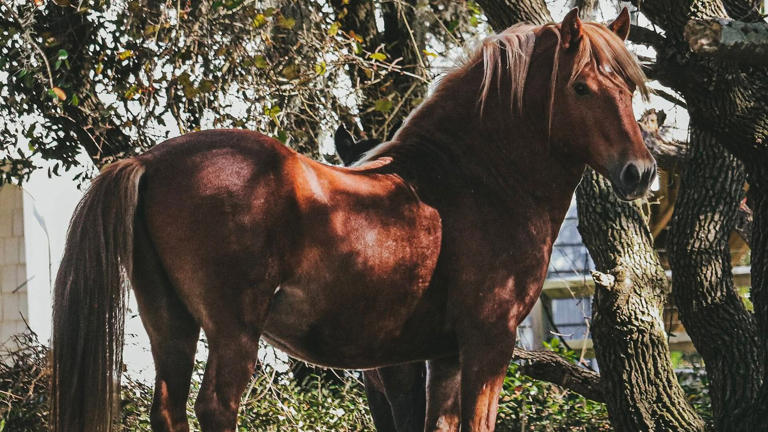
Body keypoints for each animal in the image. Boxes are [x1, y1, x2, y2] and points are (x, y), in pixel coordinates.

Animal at [51, 8, 654, 432]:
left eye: (627, 86)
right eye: (581, 86)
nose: (639, 172)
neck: (473, 181)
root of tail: (149, 160)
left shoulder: (439, 356)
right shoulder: (488, 339)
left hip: (170, 324)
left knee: (169, 409)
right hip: (232, 331)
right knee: (216, 407)